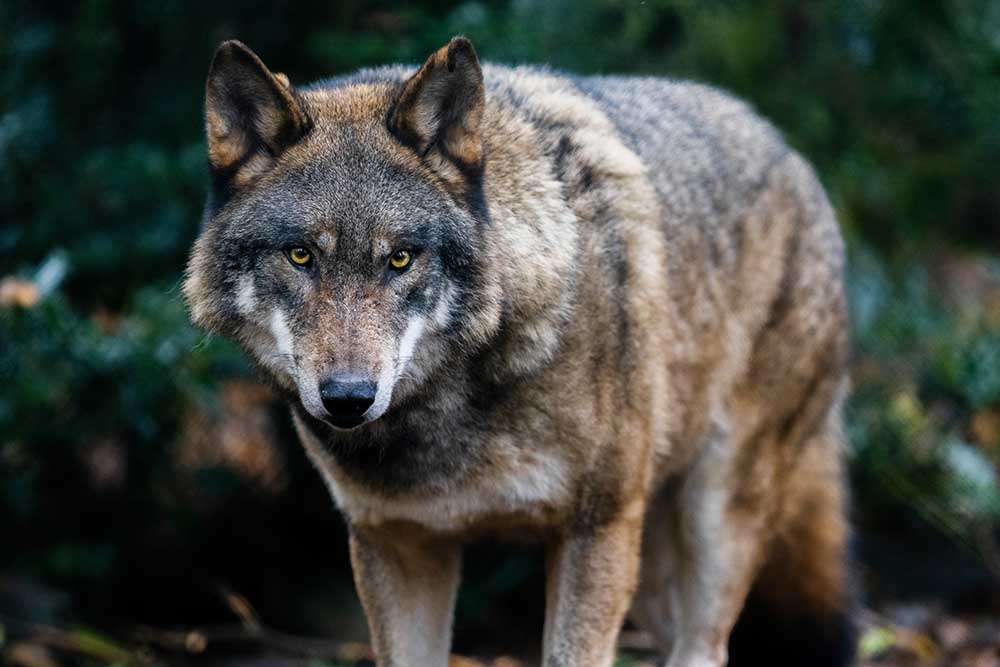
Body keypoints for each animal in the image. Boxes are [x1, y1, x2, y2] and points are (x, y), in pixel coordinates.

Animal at [183, 36, 855, 667]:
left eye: (400, 258)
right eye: (301, 255)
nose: (348, 398)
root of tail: (790, 151)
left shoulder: (597, 526)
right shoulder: (397, 541)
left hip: (710, 520)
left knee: (708, 647)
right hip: (651, 567)